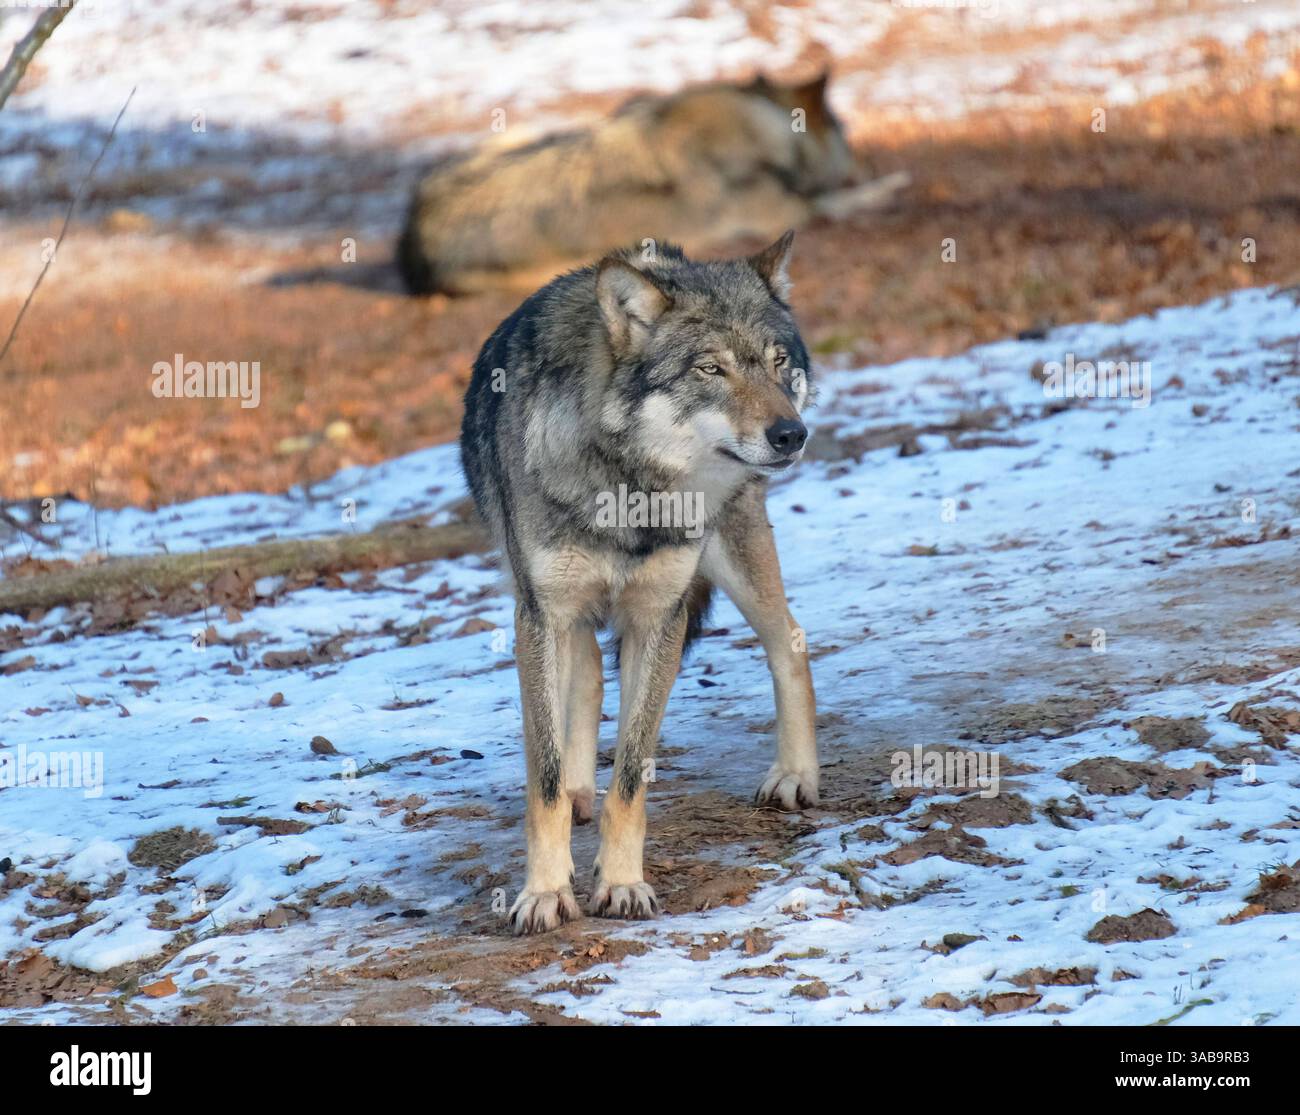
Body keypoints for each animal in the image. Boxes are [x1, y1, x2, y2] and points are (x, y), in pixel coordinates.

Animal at [399, 72, 906, 295]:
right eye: (844, 129)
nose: (861, 157)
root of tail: (411, 238)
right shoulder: (786, 212)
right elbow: (839, 200)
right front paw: (895, 183)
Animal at [460, 231, 818, 934]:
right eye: (710, 370)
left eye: (777, 362)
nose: (790, 433)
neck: (627, 487)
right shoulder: (541, 613)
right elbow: (543, 777)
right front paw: (546, 892)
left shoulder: (661, 615)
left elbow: (631, 776)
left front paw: (622, 883)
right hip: (555, 605)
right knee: (589, 674)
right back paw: (579, 791)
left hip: (733, 554)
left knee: (790, 639)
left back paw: (794, 775)